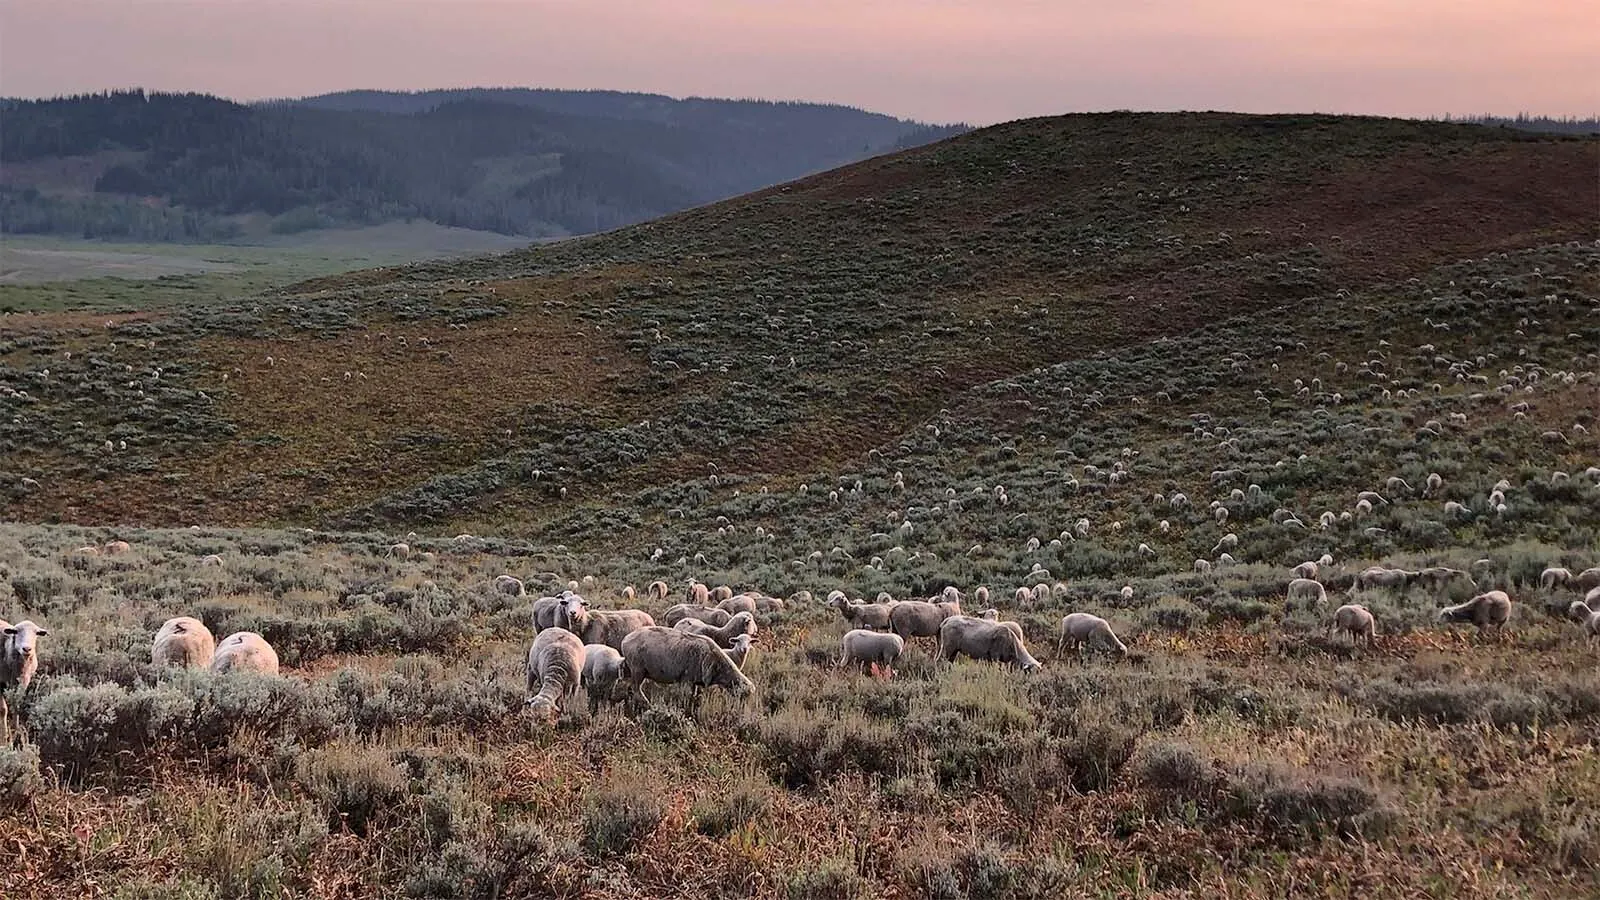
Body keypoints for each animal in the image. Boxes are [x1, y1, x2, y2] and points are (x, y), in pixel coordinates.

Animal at [619, 626, 754, 708]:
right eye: (744, 696)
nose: (743, 711)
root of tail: (625, 639)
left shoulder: (694, 681)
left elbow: (693, 696)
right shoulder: (686, 679)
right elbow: (686, 696)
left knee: (631, 688)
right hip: (637, 669)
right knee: (636, 689)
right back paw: (646, 704)